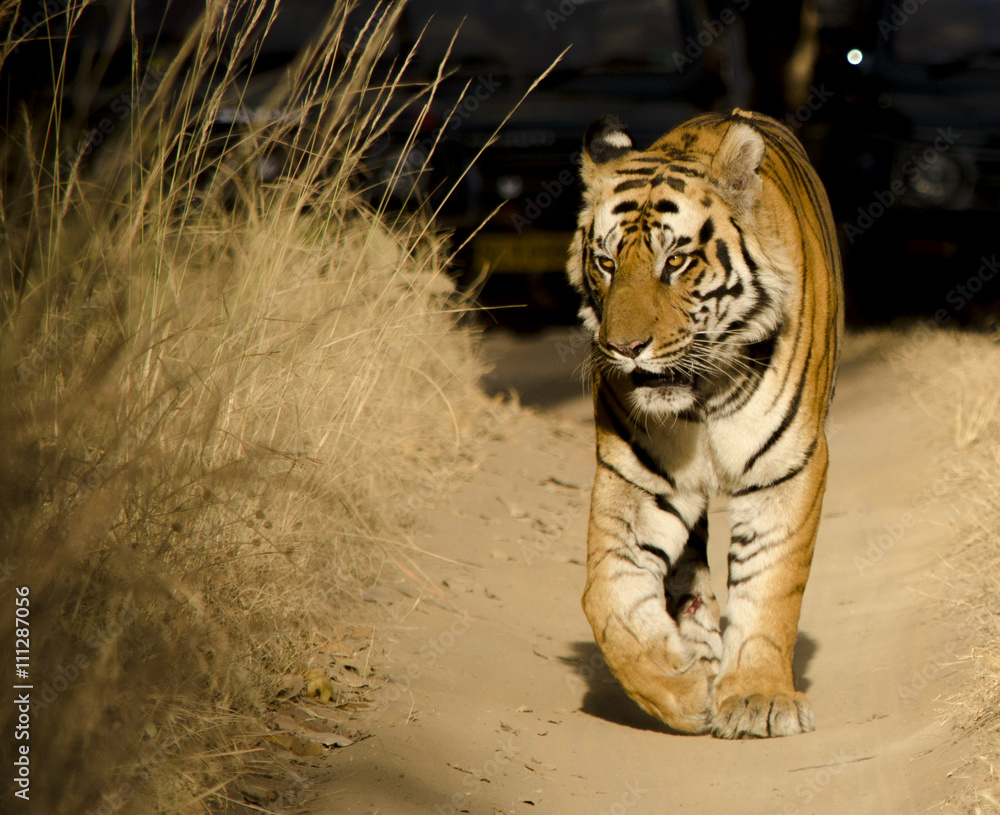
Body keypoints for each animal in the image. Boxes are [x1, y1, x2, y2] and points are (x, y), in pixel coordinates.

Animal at [565, 109, 843, 738]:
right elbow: (607, 593)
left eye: (675, 261)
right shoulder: (638, 475)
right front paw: (682, 688)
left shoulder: (788, 465)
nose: (625, 349)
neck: (702, 396)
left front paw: (759, 698)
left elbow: (770, 583)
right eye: (607, 262)